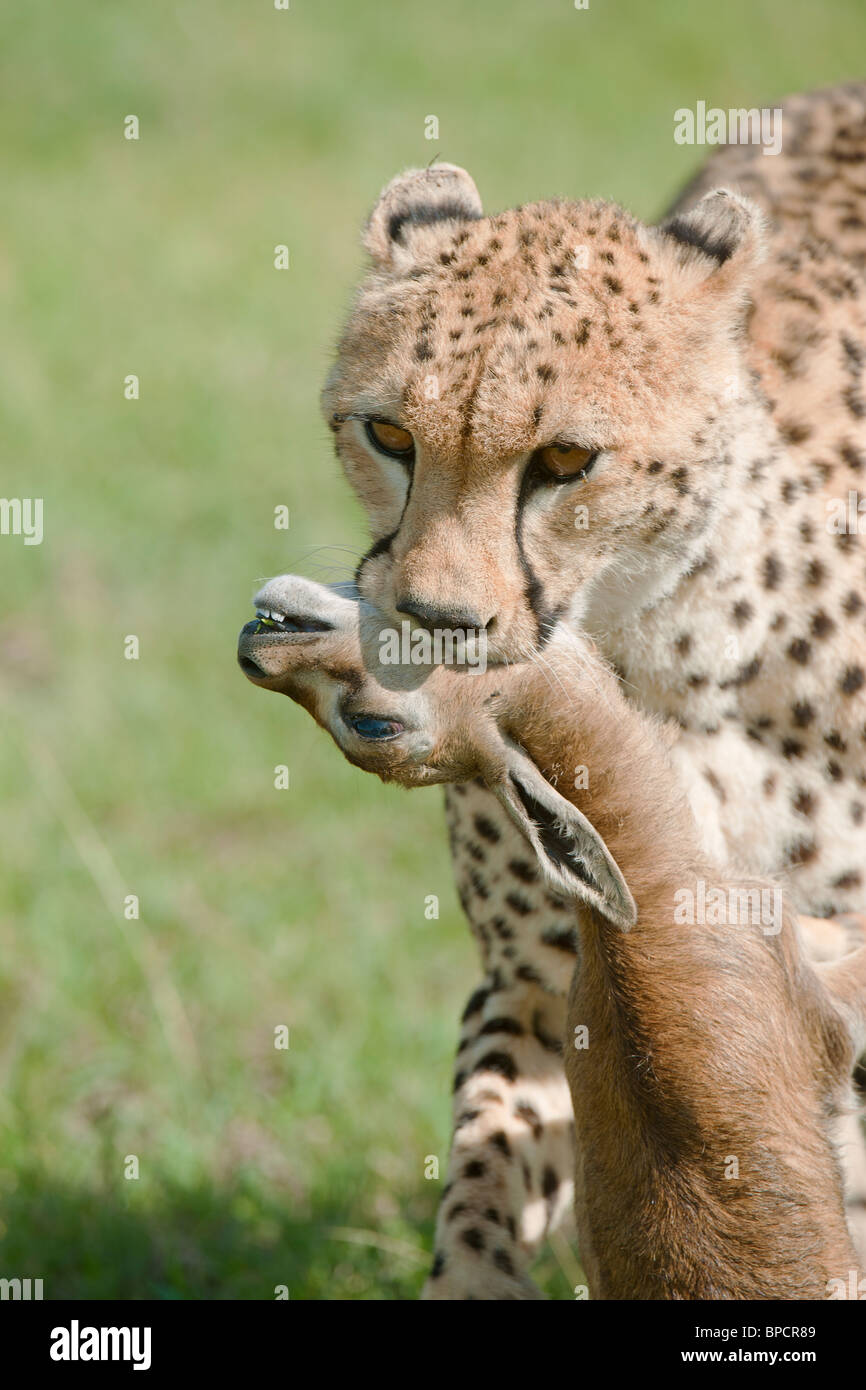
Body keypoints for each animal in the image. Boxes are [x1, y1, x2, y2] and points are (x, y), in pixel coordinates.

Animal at [317, 81, 866, 1299]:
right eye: (388, 433)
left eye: (565, 462)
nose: (432, 621)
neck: (659, 648)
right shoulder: (537, 978)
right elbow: (484, 1176)